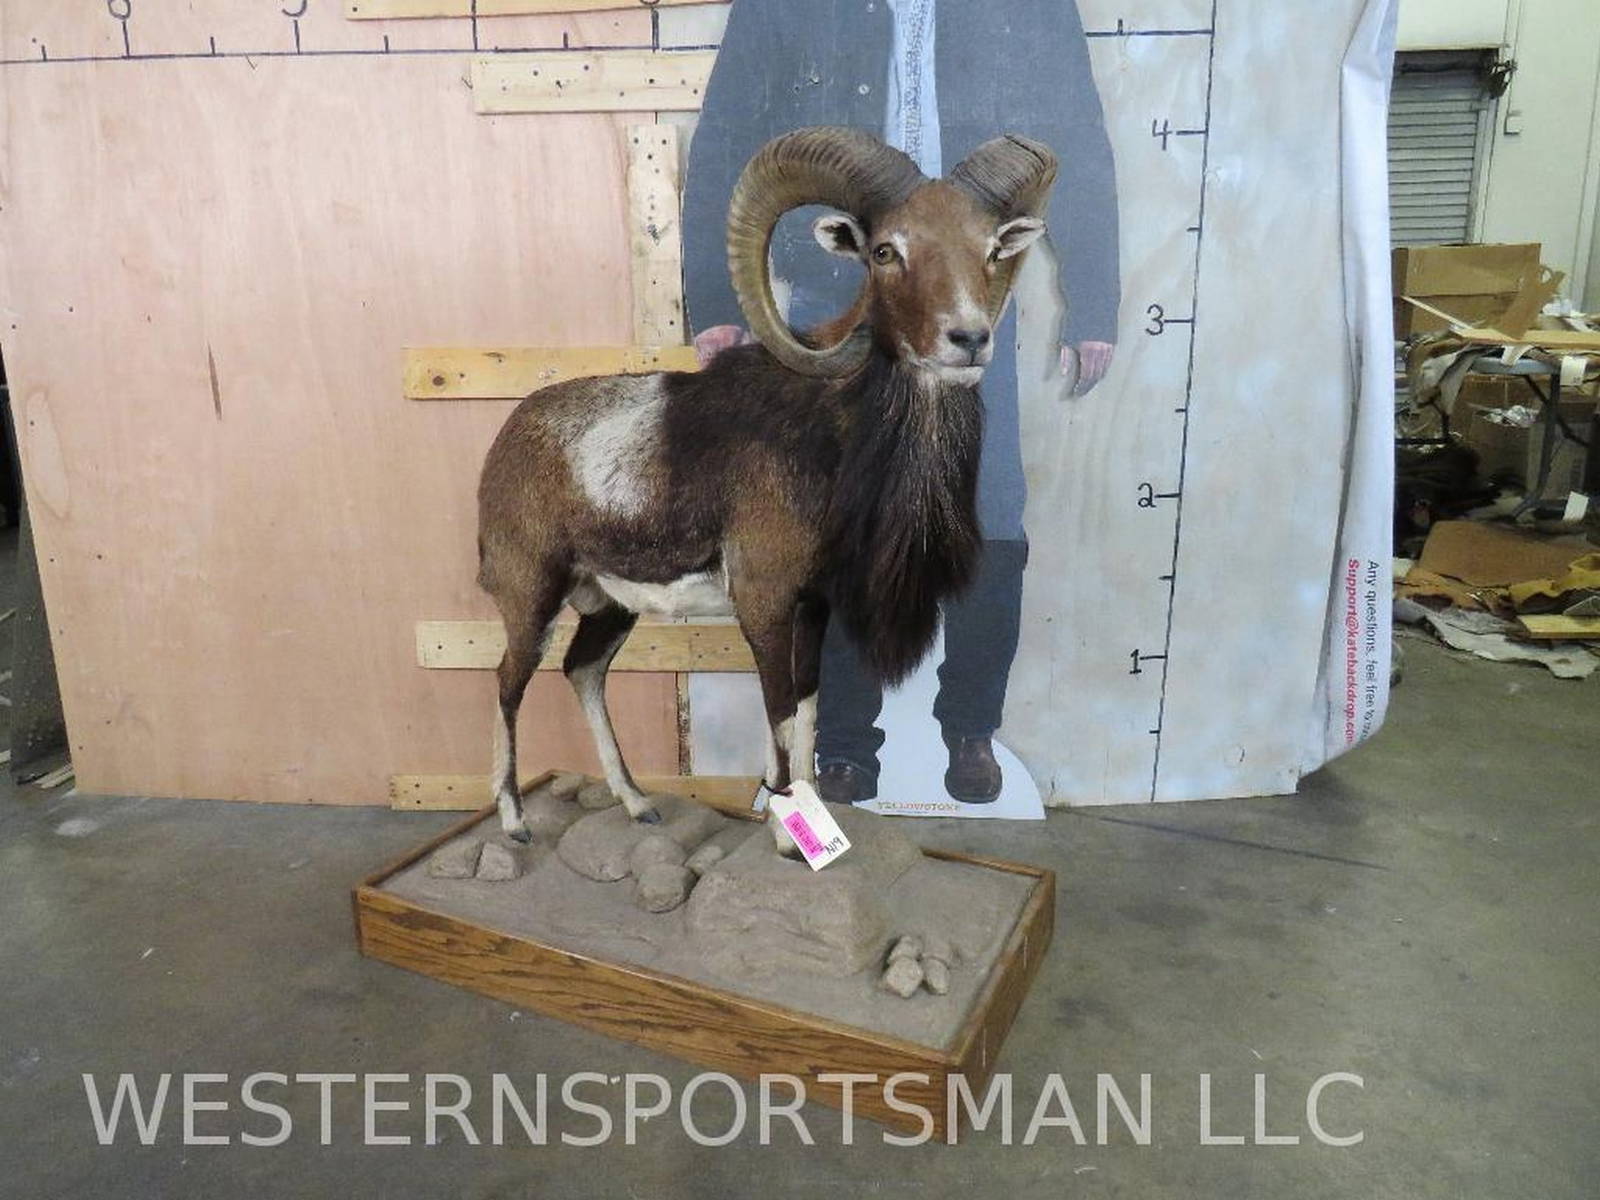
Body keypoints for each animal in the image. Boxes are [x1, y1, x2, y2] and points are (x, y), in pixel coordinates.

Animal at [477, 126, 1057, 851]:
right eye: (886, 250)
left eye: (989, 249)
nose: (969, 338)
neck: (832, 441)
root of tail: (507, 440)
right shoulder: (764, 602)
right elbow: (778, 711)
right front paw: (787, 835)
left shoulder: (812, 609)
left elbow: (805, 712)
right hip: (532, 594)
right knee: (507, 683)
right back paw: (514, 820)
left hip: (610, 607)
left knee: (582, 672)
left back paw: (639, 806)